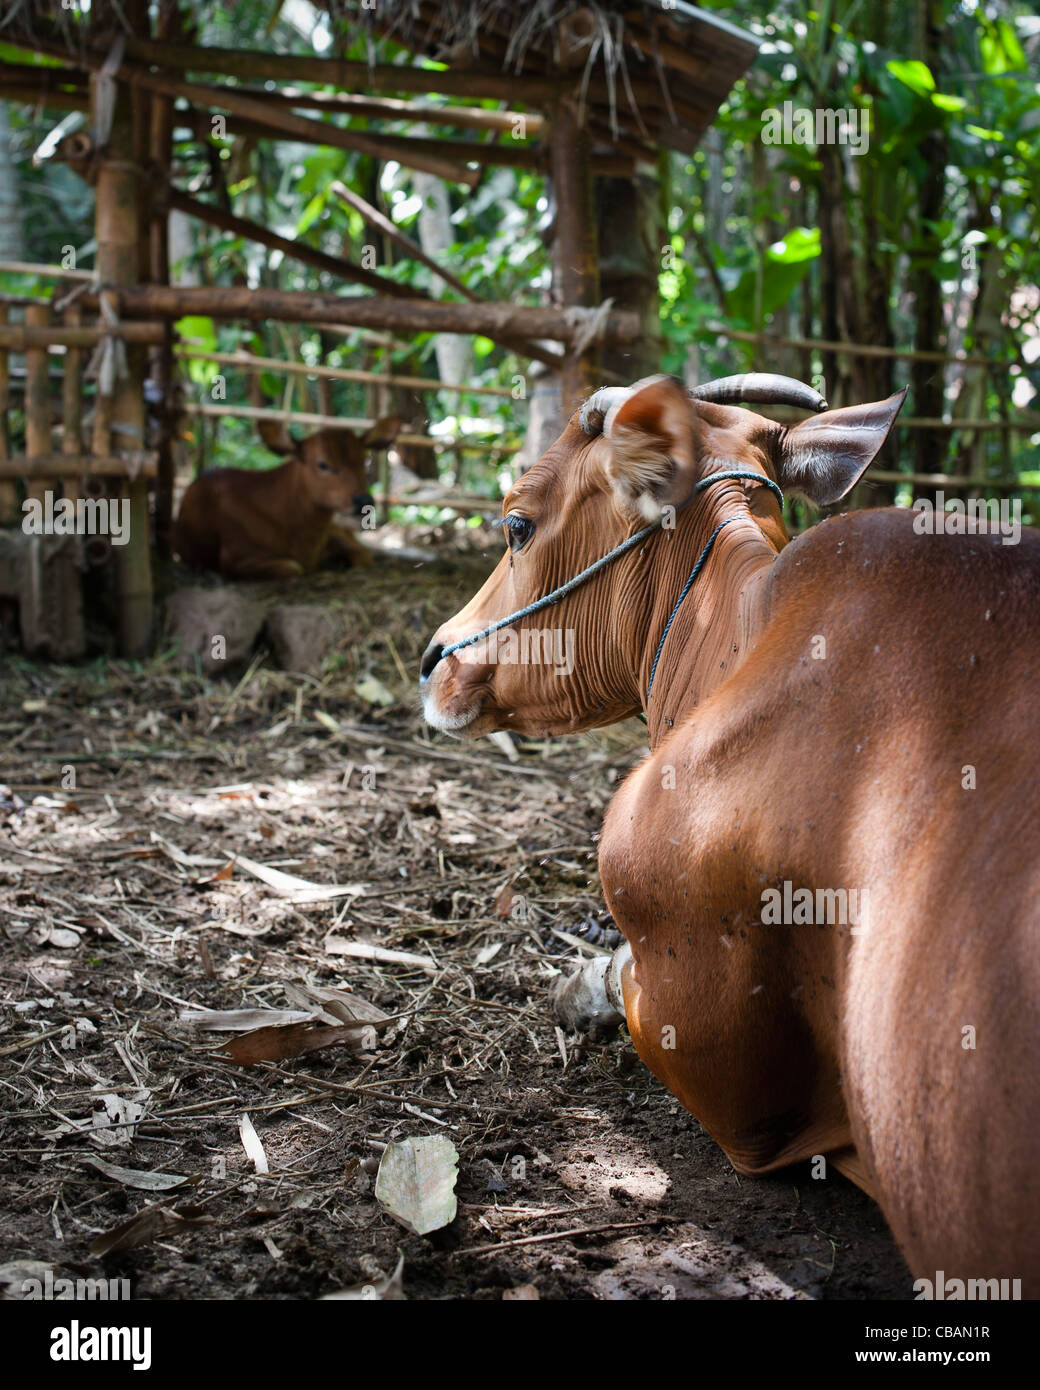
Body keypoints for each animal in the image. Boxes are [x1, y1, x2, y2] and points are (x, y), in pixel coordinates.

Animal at [174, 415, 400, 580]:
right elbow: (293, 567)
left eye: (364, 460)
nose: (363, 500)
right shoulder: (233, 559)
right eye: (323, 464)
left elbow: (363, 557)